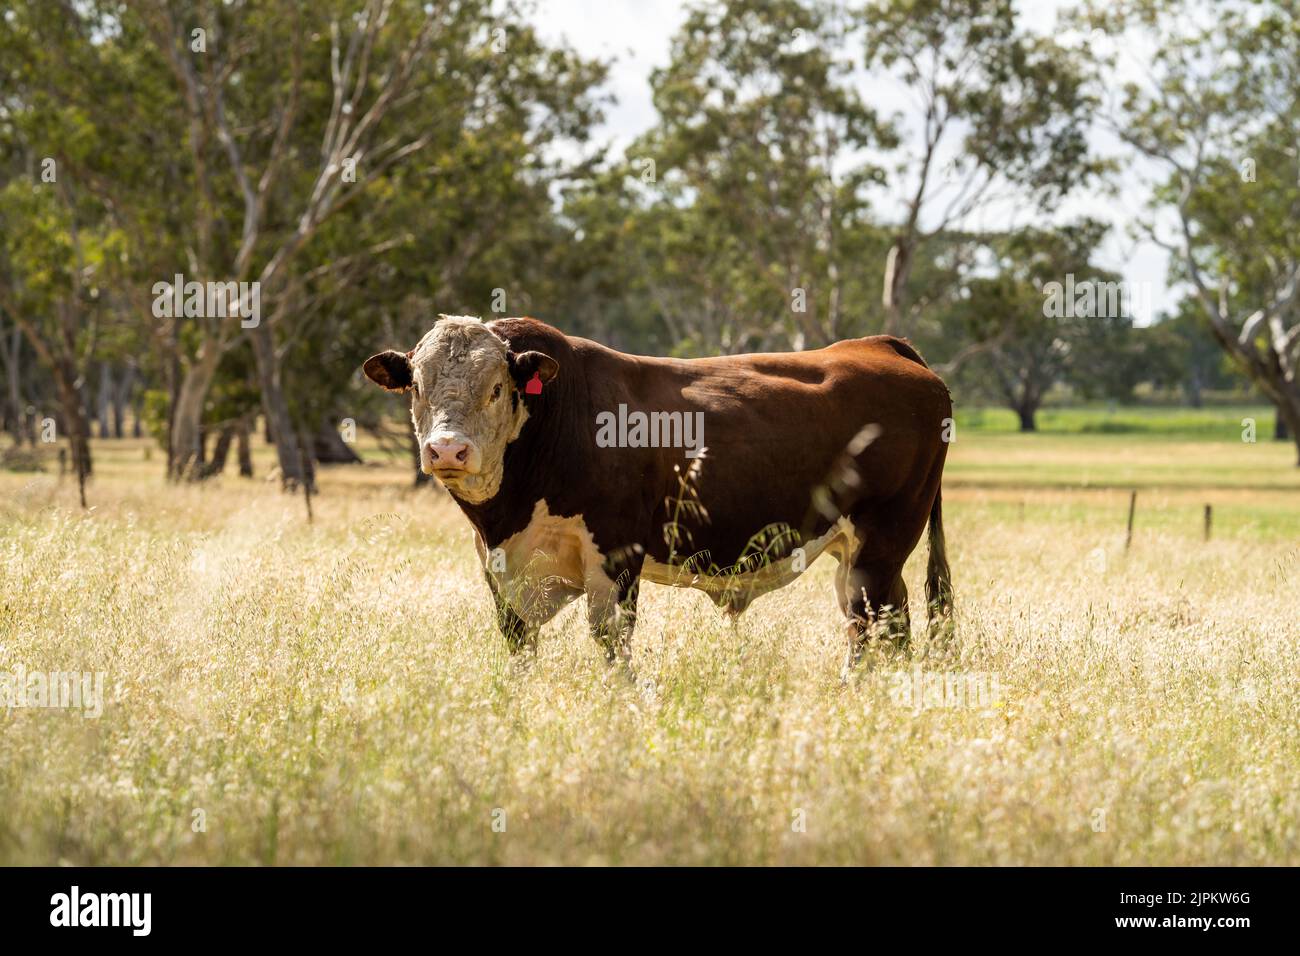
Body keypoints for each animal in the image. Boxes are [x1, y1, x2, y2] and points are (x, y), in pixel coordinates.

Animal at [363, 315, 953, 670]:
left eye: (495, 388)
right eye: (417, 386)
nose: (447, 450)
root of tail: (881, 347)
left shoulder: (616, 555)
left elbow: (612, 644)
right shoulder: (502, 569)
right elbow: (518, 645)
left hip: (879, 549)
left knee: (878, 625)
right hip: (860, 556)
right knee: (880, 625)